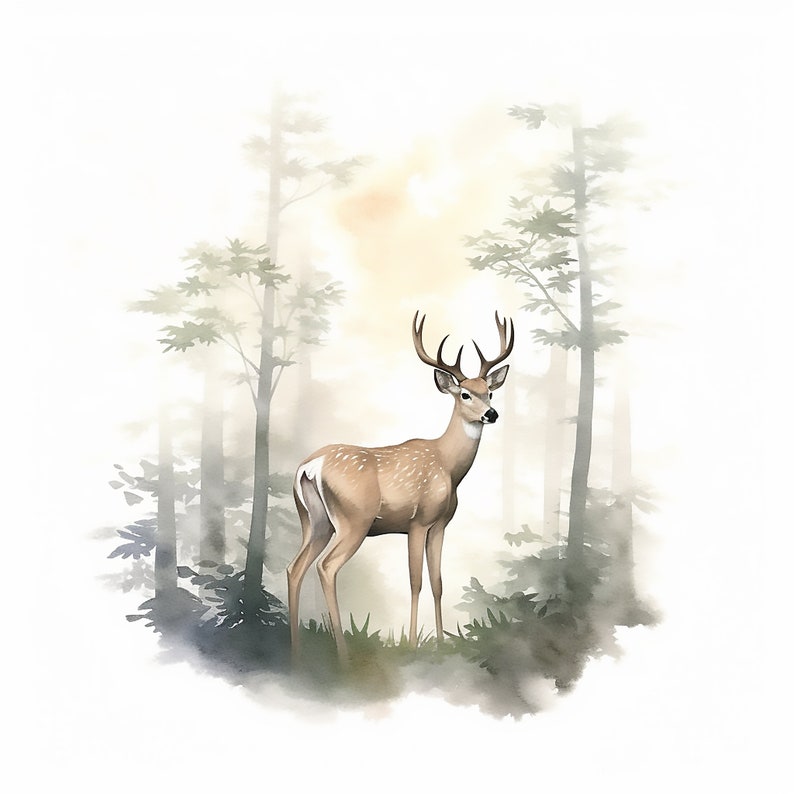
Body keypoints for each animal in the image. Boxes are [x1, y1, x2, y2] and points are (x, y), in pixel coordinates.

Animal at [287, 311, 514, 661]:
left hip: (313, 520)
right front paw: (411, 644)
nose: (491, 414)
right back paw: (343, 655)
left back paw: (296, 651)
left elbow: (437, 582)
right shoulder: (418, 521)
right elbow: (415, 581)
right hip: (354, 519)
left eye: (489, 391)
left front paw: (441, 643)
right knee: (326, 567)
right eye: (465, 394)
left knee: (294, 567)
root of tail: (310, 467)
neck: (448, 466)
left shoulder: (440, 524)